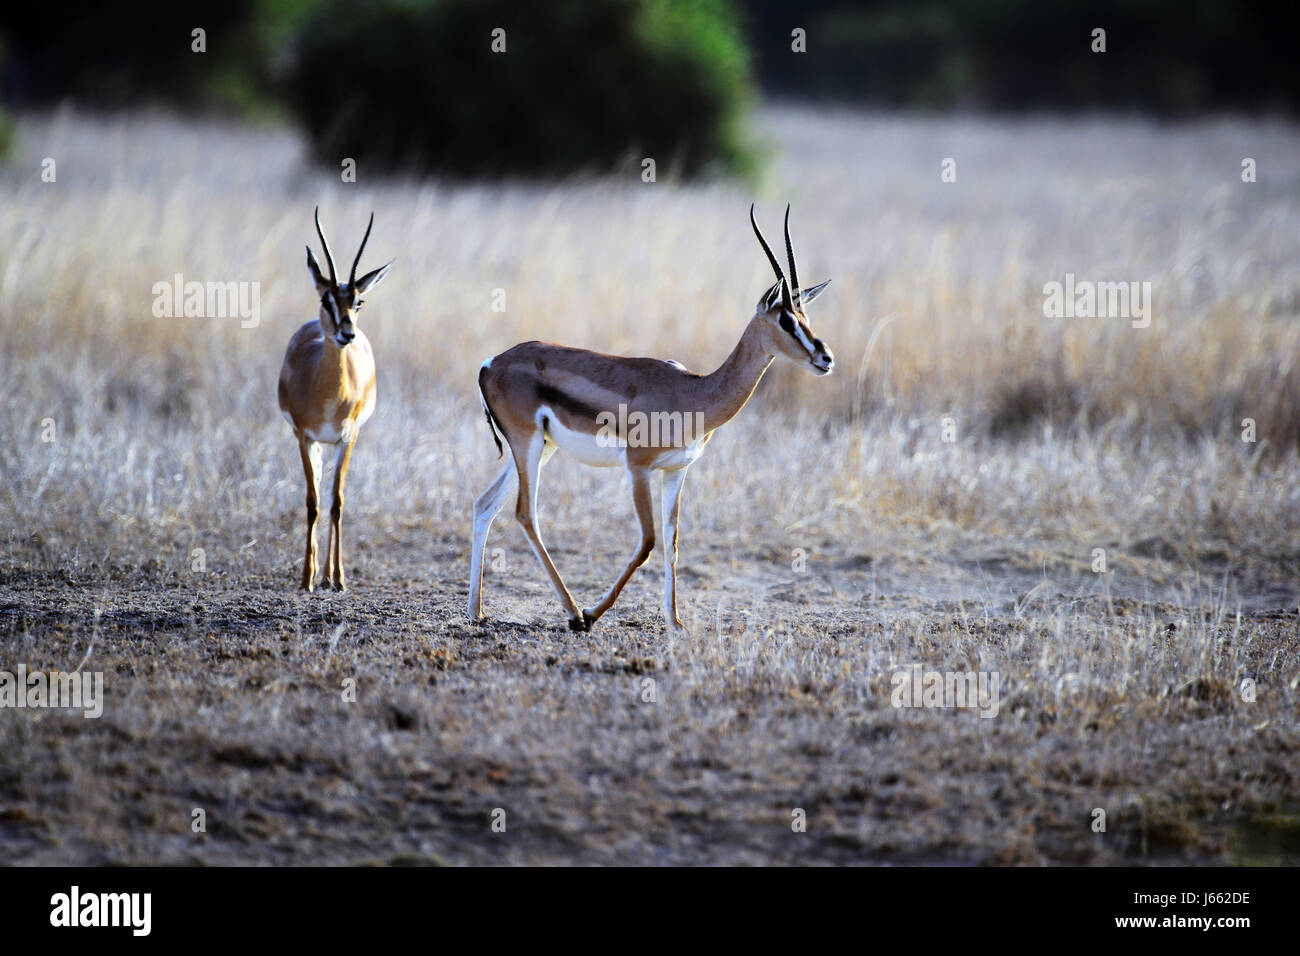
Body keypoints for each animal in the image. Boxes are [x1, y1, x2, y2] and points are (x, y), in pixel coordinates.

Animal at [278, 208, 392, 591]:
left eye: (358, 301)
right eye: (325, 299)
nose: (347, 333)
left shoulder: (348, 438)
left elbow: (337, 502)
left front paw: (339, 577)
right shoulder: (304, 437)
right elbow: (312, 502)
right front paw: (306, 578)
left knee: (331, 497)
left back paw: (328, 574)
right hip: (315, 444)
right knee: (317, 494)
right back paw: (316, 572)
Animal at [470, 205, 833, 632]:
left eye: (806, 317)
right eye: (785, 320)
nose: (825, 357)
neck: (693, 392)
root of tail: (491, 362)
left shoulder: (676, 471)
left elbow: (672, 543)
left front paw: (676, 622)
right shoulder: (637, 466)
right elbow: (647, 542)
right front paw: (594, 613)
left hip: (540, 448)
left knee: (485, 505)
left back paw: (476, 611)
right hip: (528, 445)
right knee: (525, 513)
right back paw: (574, 613)